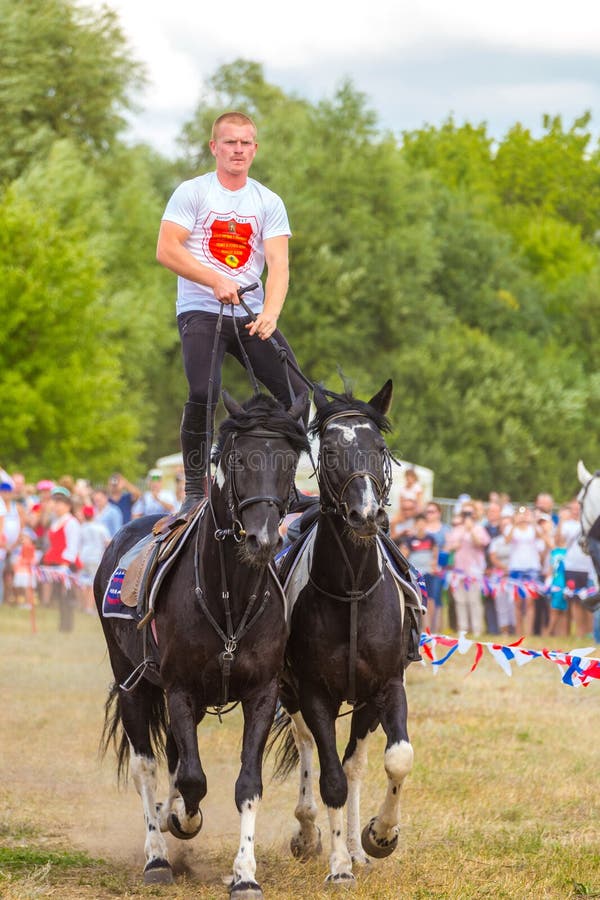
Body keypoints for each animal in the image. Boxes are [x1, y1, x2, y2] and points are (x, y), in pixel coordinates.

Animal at [95, 390, 308, 898]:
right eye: (237, 458)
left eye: (290, 460)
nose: (263, 537)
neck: (229, 595)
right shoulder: (179, 690)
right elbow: (192, 778)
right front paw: (182, 821)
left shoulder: (262, 692)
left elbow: (247, 783)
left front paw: (245, 873)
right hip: (134, 684)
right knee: (149, 766)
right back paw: (157, 854)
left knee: (173, 756)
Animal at [268, 379, 423, 886]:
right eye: (331, 451)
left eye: (380, 449)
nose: (366, 515)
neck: (352, 589)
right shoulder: (314, 691)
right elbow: (329, 777)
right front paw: (336, 866)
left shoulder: (387, 687)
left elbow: (395, 759)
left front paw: (379, 836)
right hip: (291, 692)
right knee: (307, 748)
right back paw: (310, 834)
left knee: (355, 763)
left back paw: (356, 846)